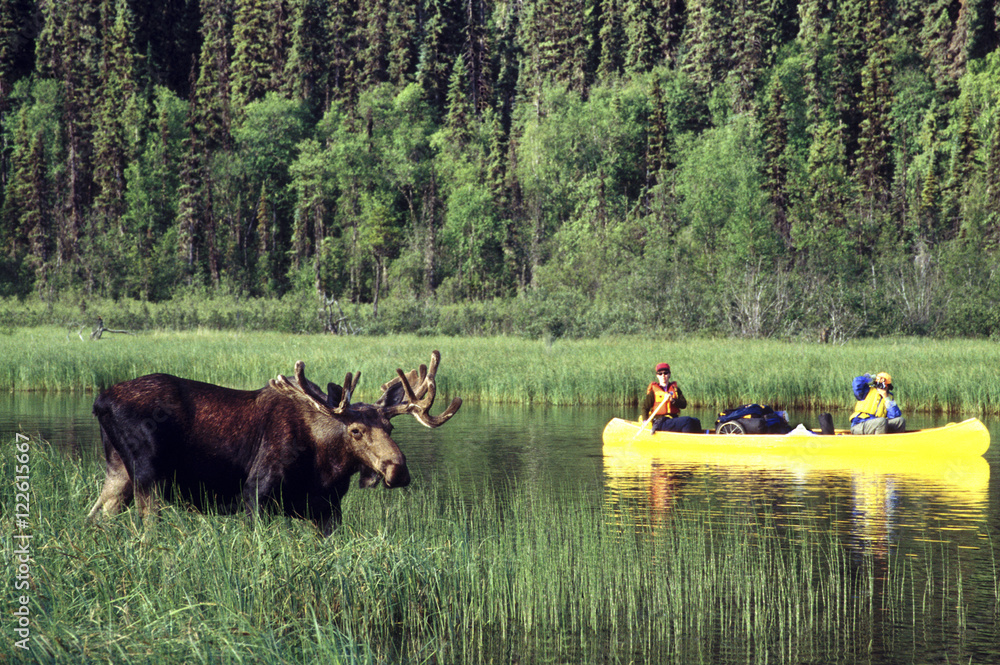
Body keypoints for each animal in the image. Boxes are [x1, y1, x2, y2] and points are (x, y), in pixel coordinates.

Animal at [87, 351, 462, 535]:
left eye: (391, 427)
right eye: (356, 430)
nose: (398, 471)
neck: (326, 466)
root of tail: (101, 400)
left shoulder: (326, 509)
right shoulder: (256, 493)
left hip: (118, 472)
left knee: (96, 515)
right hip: (148, 476)